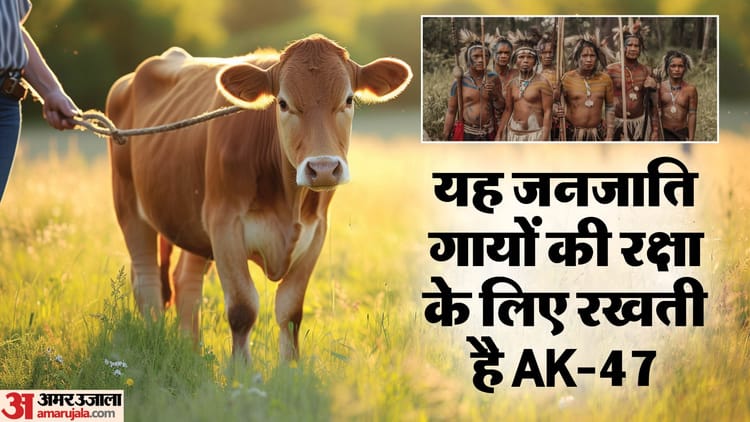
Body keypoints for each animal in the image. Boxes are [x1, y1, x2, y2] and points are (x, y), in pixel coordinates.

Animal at [105, 34, 412, 361]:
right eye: (283, 103)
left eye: (349, 99)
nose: (323, 168)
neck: (288, 202)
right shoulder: (224, 226)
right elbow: (243, 309)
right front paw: (241, 370)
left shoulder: (316, 231)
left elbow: (290, 311)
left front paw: (289, 368)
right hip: (129, 207)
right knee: (147, 279)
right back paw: (155, 339)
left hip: (192, 222)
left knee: (185, 280)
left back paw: (191, 351)